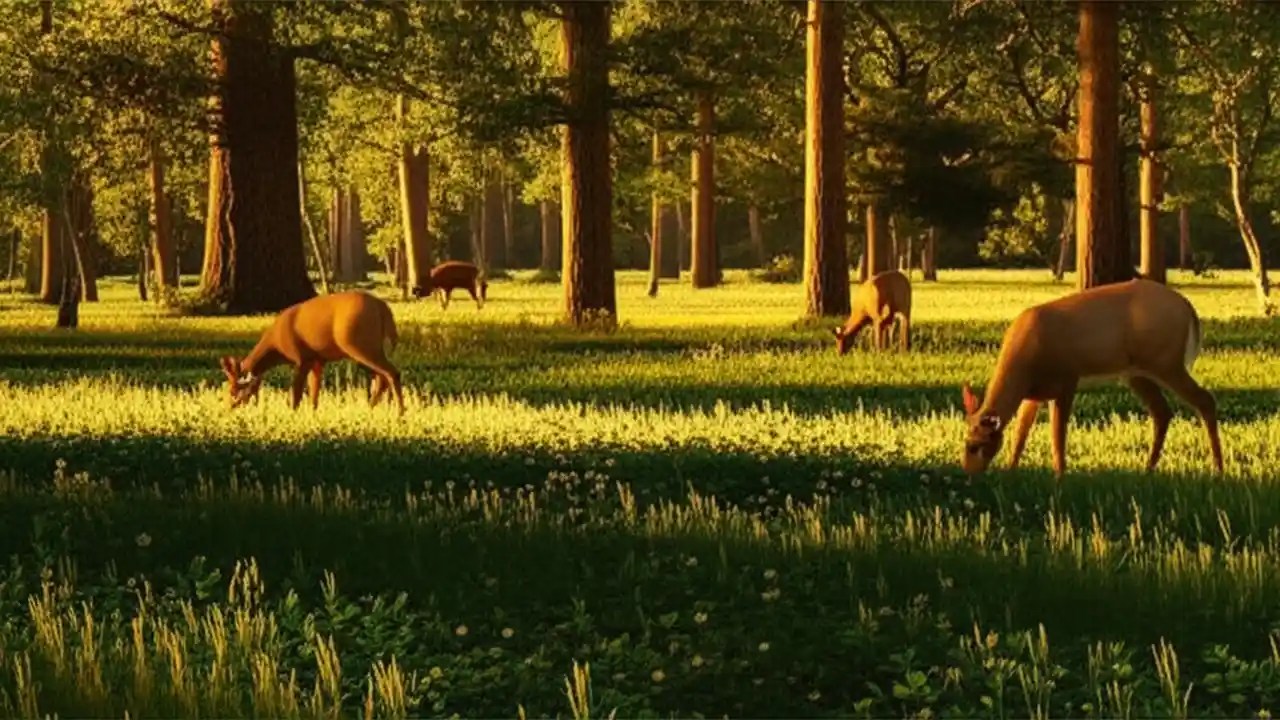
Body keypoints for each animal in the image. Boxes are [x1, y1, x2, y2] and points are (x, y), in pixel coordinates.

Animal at [218, 291, 405, 415]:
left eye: (233, 391)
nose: (227, 410)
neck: (277, 344)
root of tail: (383, 308)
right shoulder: (317, 360)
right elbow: (314, 392)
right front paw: (312, 413)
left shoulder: (302, 357)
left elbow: (297, 391)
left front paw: (292, 414)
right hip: (368, 348)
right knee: (381, 377)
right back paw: (371, 408)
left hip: (360, 345)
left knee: (392, 373)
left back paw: (400, 412)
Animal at [960, 278, 1223, 478]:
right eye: (964, 442)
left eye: (975, 447)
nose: (968, 473)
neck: (1024, 364)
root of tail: (1188, 307)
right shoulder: (1034, 393)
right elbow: (1020, 433)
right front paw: (1011, 469)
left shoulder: (1067, 379)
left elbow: (1057, 434)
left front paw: (1060, 476)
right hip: (1137, 373)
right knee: (1162, 412)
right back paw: (1148, 469)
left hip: (1166, 361)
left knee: (1205, 399)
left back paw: (1218, 470)